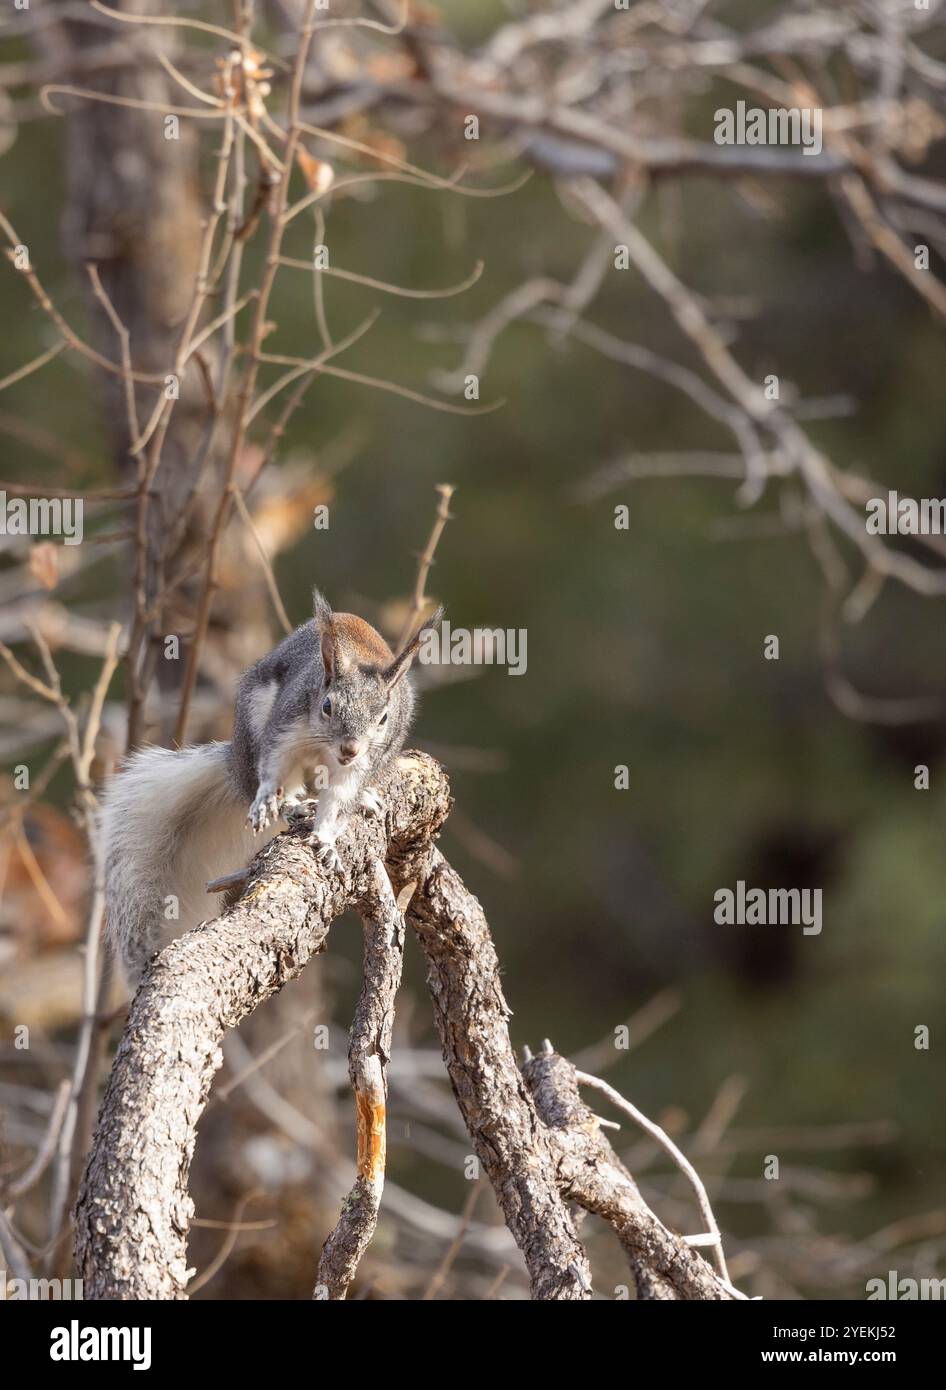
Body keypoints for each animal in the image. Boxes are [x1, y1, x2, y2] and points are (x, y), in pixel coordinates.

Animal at [102, 589, 443, 988]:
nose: (350, 749)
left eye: (383, 718)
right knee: (278, 783)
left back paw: (360, 799)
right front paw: (270, 800)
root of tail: (235, 768)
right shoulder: (285, 726)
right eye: (327, 706)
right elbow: (273, 767)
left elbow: (338, 799)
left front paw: (326, 839)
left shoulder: (355, 768)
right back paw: (291, 805)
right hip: (254, 718)